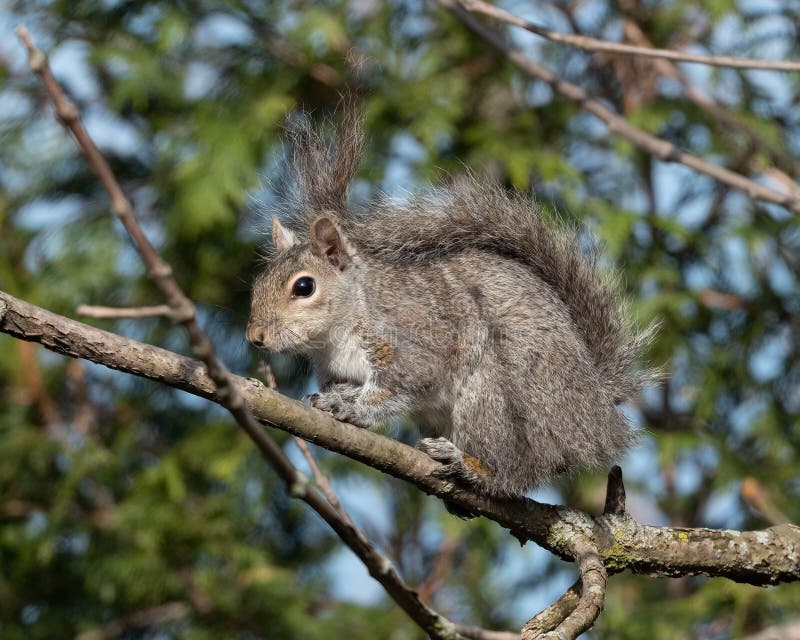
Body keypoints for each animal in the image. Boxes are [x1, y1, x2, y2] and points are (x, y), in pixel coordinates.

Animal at [247, 111, 656, 497]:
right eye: (259, 281)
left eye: (304, 286)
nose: (255, 336)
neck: (338, 331)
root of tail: (597, 411)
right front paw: (336, 397)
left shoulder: (414, 340)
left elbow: (401, 386)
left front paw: (352, 408)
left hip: (496, 396)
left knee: (516, 473)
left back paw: (470, 465)